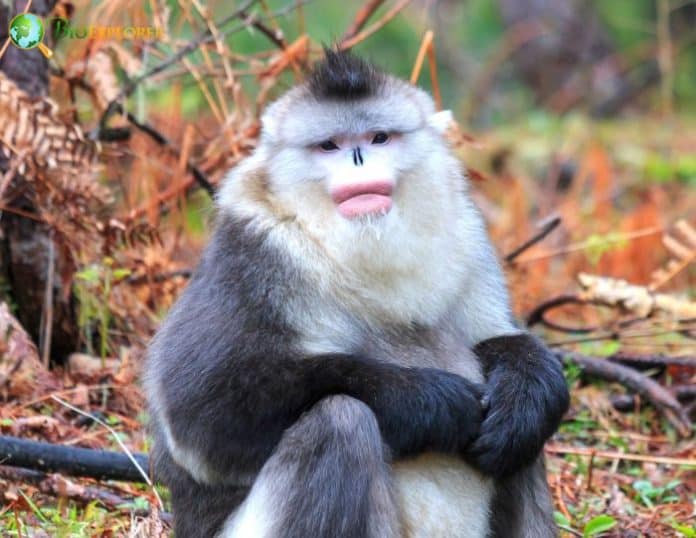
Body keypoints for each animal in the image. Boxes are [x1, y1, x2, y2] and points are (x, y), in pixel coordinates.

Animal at [144, 49, 569, 538]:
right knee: (340, 421)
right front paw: (425, 402)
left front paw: (528, 393)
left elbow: (498, 342)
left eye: (378, 137)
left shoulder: (468, 236)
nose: (359, 157)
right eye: (330, 145)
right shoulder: (252, 251)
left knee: (523, 442)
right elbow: (198, 413)